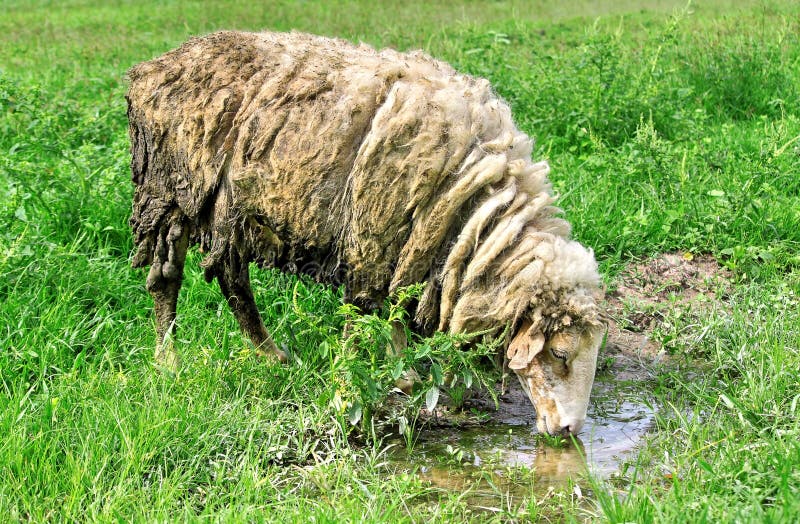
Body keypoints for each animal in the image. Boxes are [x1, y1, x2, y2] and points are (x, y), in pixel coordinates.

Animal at [125, 29, 604, 438]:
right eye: (561, 353)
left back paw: (270, 354)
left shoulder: (407, 248)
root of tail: (152, 67)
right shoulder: (373, 240)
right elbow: (362, 317)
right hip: (170, 191)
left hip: (232, 207)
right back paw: (168, 361)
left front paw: (406, 374)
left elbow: (394, 310)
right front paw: (359, 390)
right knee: (165, 278)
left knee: (231, 277)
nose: (569, 430)